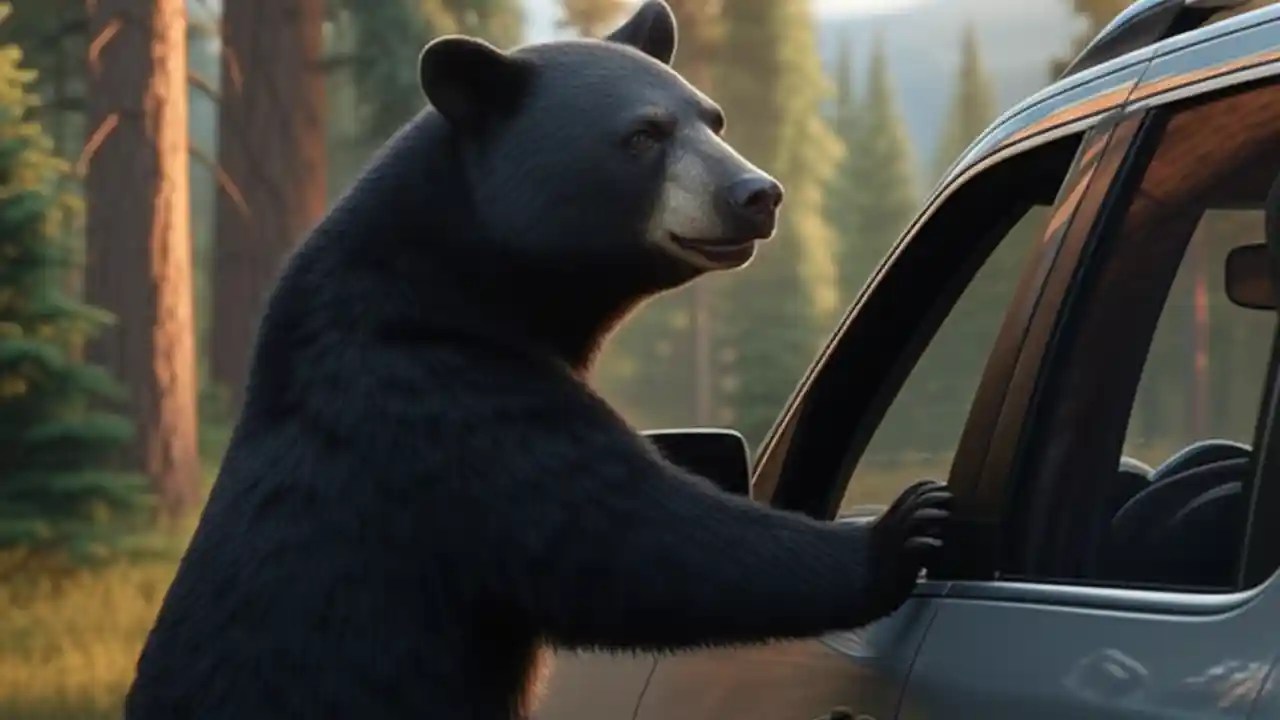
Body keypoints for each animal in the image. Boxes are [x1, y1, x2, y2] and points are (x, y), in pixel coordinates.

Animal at [123, 2, 951, 719]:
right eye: (643, 135)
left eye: (711, 118)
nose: (756, 193)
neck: (469, 277)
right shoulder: (435, 399)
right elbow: (619, 533)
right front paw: (898, 532)